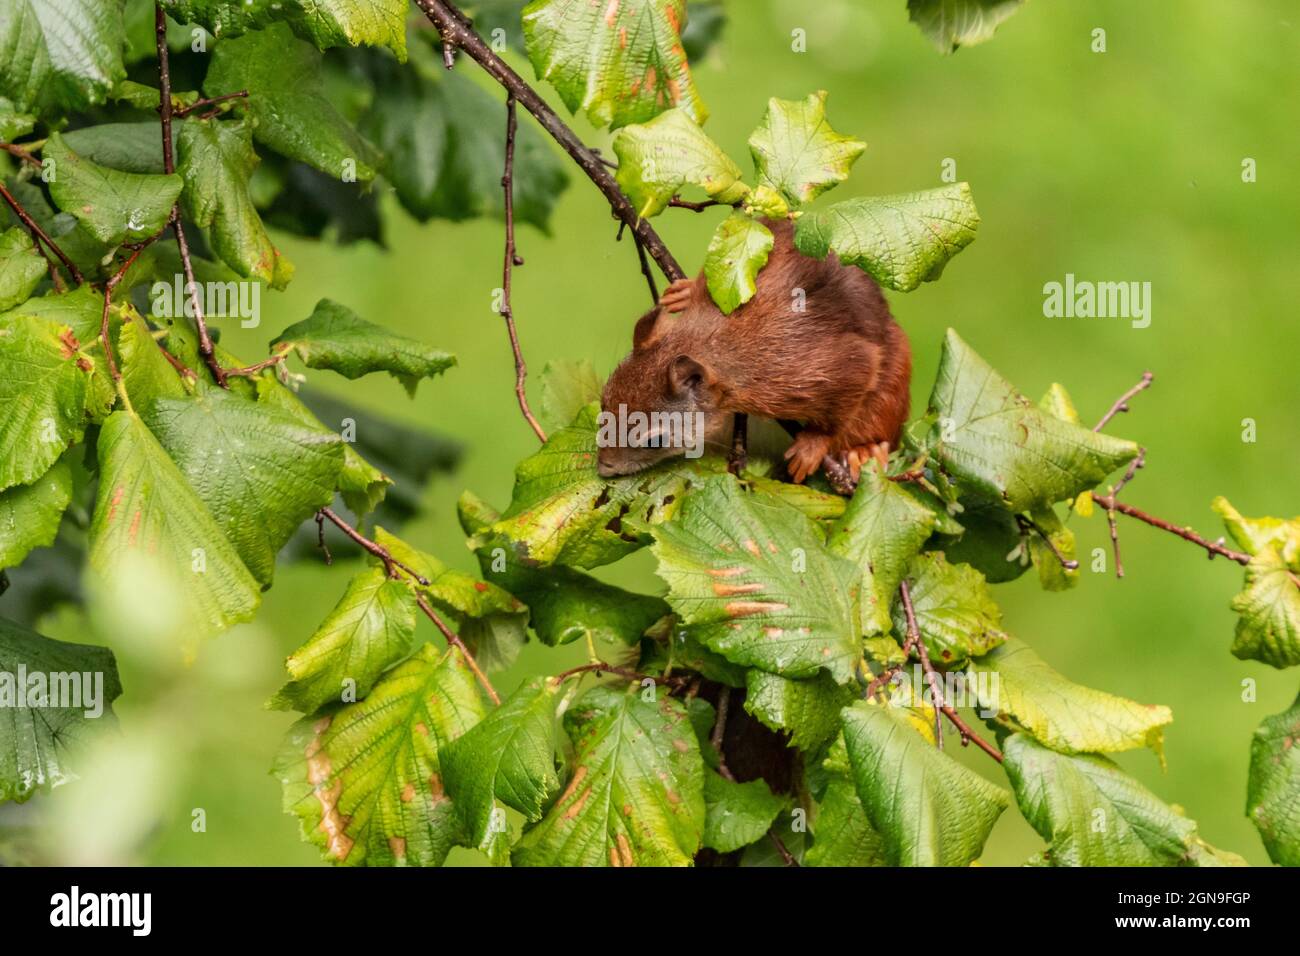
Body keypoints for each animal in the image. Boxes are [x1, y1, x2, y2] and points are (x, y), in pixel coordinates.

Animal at [597, 219, 911, 484]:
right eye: (603, 402)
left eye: (655, 440)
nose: (604, 468)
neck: (708, 341)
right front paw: (687, 291)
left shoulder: (799, 371)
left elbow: (857, 371)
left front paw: (813, 444)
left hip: (890, 395)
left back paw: (865, 451)